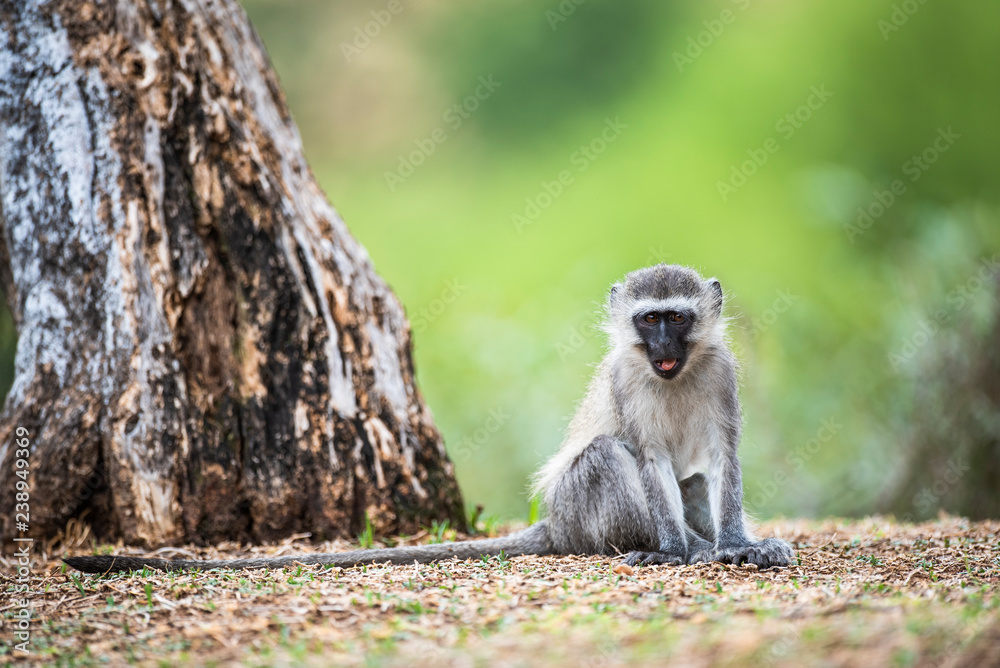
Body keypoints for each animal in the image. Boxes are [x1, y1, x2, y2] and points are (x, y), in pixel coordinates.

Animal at [65, 264, 794, 575]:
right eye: (649, 321)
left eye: (678, 318)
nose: (664, 346)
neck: (672, 373)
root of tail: (554, 525)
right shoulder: (626, 381)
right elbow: (646, 458)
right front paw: (685, 550)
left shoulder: (721, 375)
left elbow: (722, 461)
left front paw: (739, 541)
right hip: (579, 510)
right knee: (609, 456)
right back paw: (662, 546)